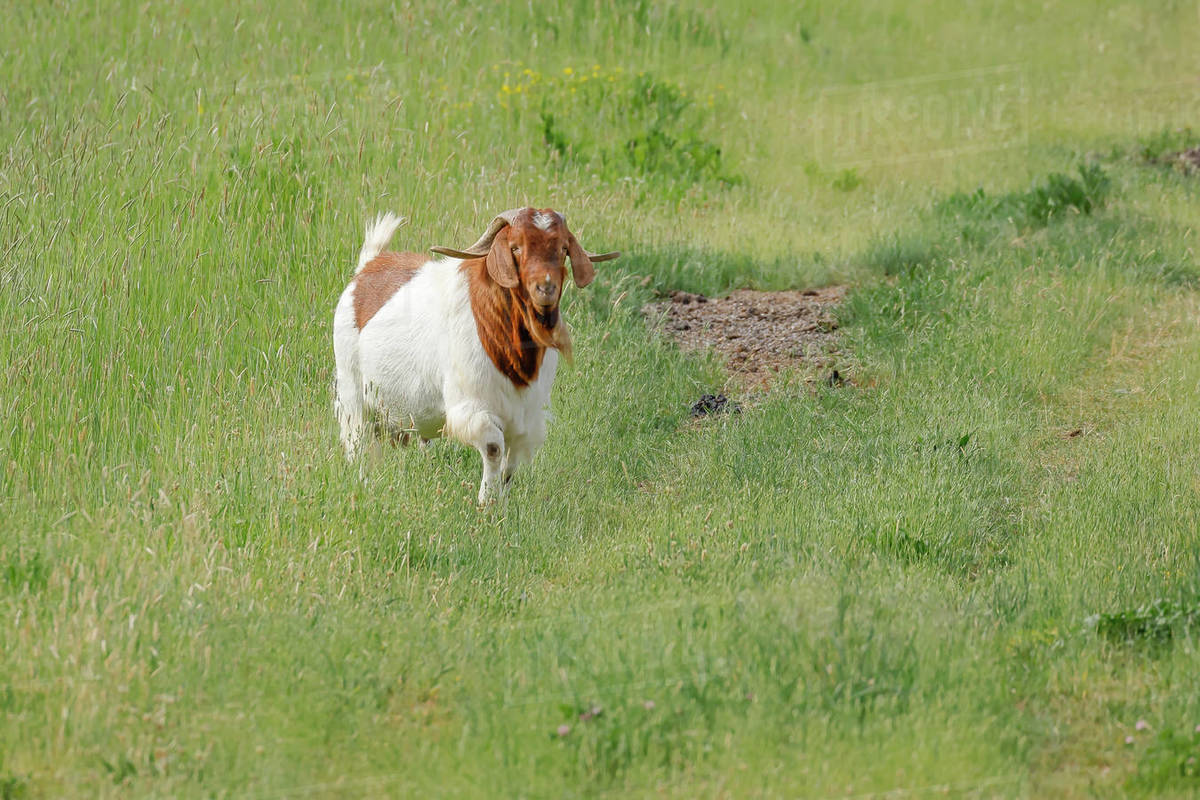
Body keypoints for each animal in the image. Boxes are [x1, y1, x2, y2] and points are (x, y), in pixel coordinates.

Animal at [332, 207, 619, 502]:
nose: (545, 289)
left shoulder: (525, 417)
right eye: (515, 247)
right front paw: (485, 502)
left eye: (563, 249)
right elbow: (494, 447)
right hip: (352, 392)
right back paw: (364, 487)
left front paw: (500, 504)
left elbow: (509, 466)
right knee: (358, 445)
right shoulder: (470, 406)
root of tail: (368, 267)